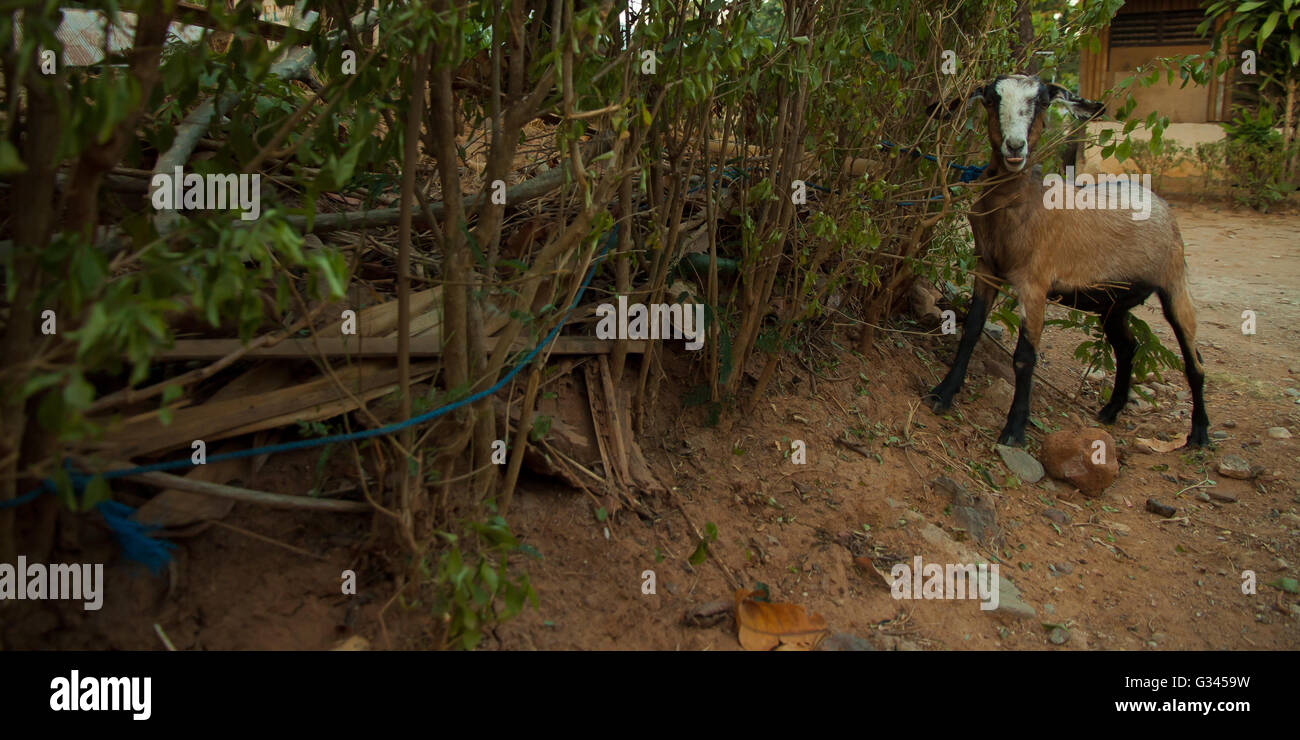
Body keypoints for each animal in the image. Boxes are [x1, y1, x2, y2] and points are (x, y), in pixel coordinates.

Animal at [923, 75, 1209, 448]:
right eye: (990, 99)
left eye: (1043, 101)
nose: (1015, 147)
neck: (1022, 202)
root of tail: (1159, 201)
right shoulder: (986, 268)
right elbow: (970, 330)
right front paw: (942, 393)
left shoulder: (1035, 283)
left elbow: (1024, 357)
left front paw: (1014, 430)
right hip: (1113, 303)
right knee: (1128, 347)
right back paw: (1111, 410)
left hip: (1174, 282)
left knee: (1194, 360)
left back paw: (1200, 433)